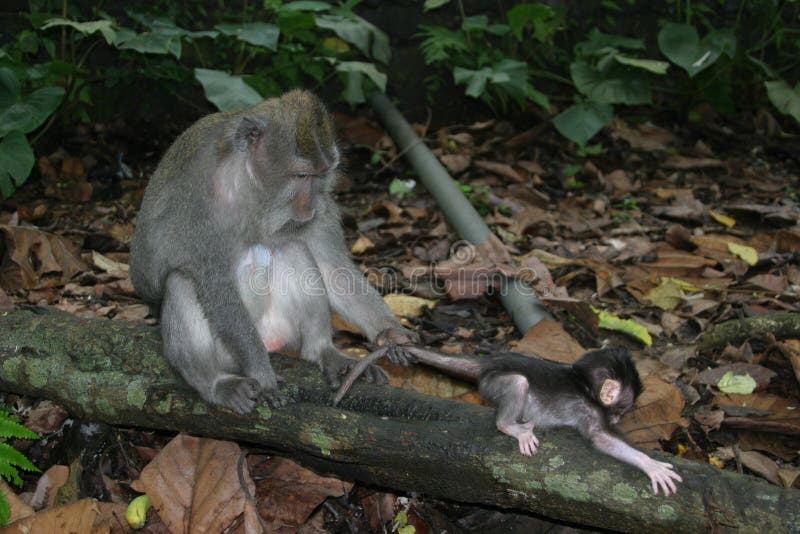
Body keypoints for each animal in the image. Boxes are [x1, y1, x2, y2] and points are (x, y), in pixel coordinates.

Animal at [130, 89, 418, 415]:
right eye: (302, 176)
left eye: (322, 175)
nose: (311, 205)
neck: (249, 191)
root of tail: (270, 340)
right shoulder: (199, 208)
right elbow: (216, 288)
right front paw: (263, 376)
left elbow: (332, 268)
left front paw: (390, 334)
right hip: (227, 354)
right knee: (181, 282)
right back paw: (217, 384)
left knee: (291, 247)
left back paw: (323, 351)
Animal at [334, 346, 682, 495]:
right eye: (622, 408)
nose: (620, 416)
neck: (583, 384)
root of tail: (489, 363)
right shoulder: (590, 411)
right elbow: (602, 438)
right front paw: (652, 465)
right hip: (495, 384)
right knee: (517, 383)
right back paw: (513, 427)